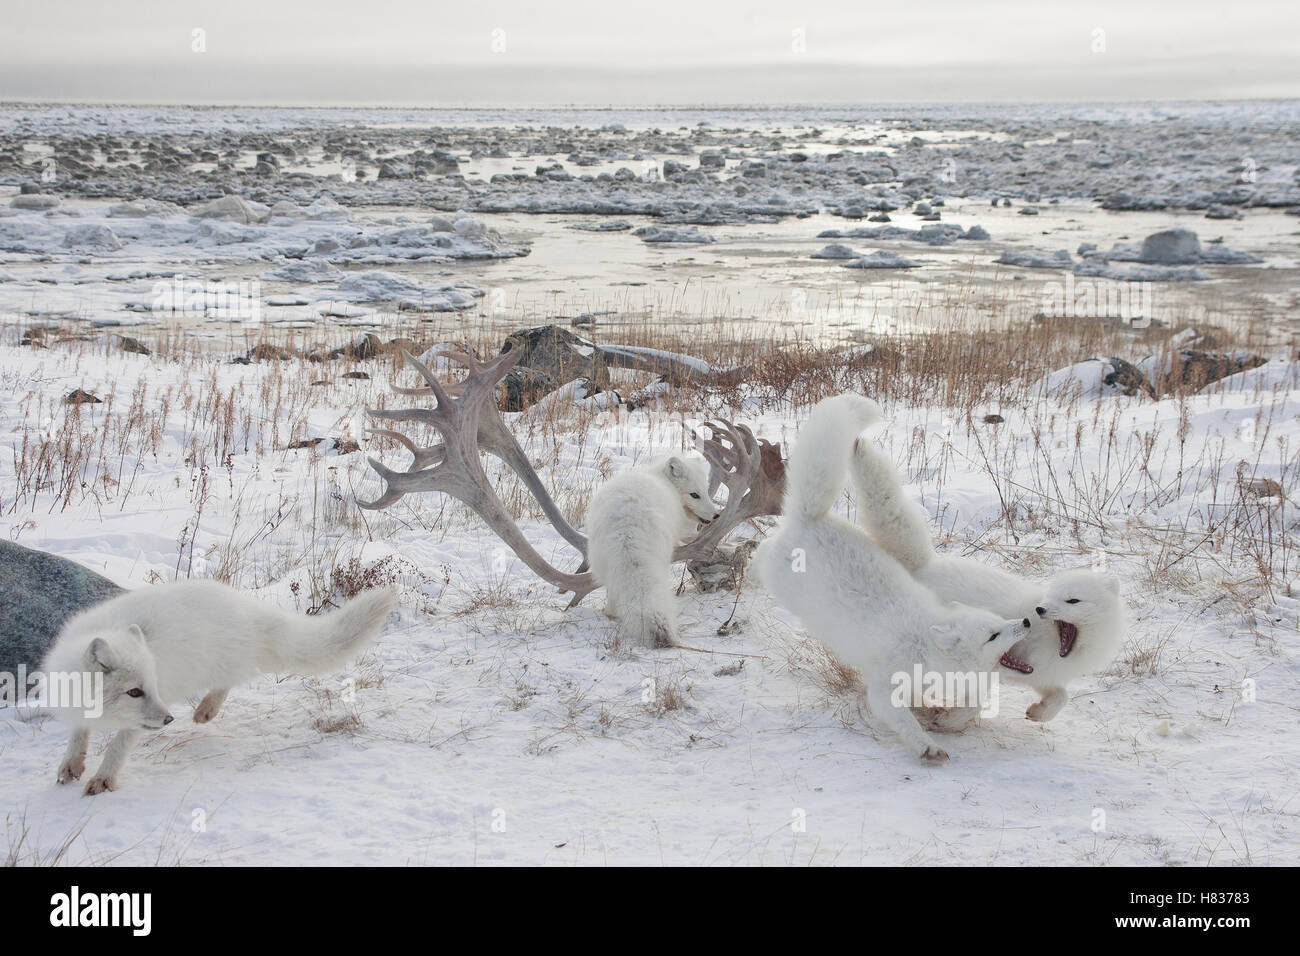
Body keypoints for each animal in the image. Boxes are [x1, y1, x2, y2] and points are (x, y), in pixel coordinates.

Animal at [41, 579, 397, 795]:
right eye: (134, 692)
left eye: (151, 687)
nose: (169, 719)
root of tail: (245, 605)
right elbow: (78, 735)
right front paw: (71, 765)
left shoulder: (138, 723)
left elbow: (117, 747)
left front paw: (103, 779)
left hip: (222, 664)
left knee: (229, 682)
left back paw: (206, 709)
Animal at [586, 455, 720, 648]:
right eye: (695, 495)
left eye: (706, 492)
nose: (716, 515)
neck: (663, 480)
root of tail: (626, 529)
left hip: (603, 564)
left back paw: (611, 614)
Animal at [754, 394, 1029, 761]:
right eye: (993, 635)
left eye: (997, 621)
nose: (1025, 621)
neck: (925, 650)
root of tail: (810, 517)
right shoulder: (885, 688)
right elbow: (901, 718)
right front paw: (927, 746)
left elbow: (975, 703)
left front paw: (945, 721)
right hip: (780, 580)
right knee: (762, 550)